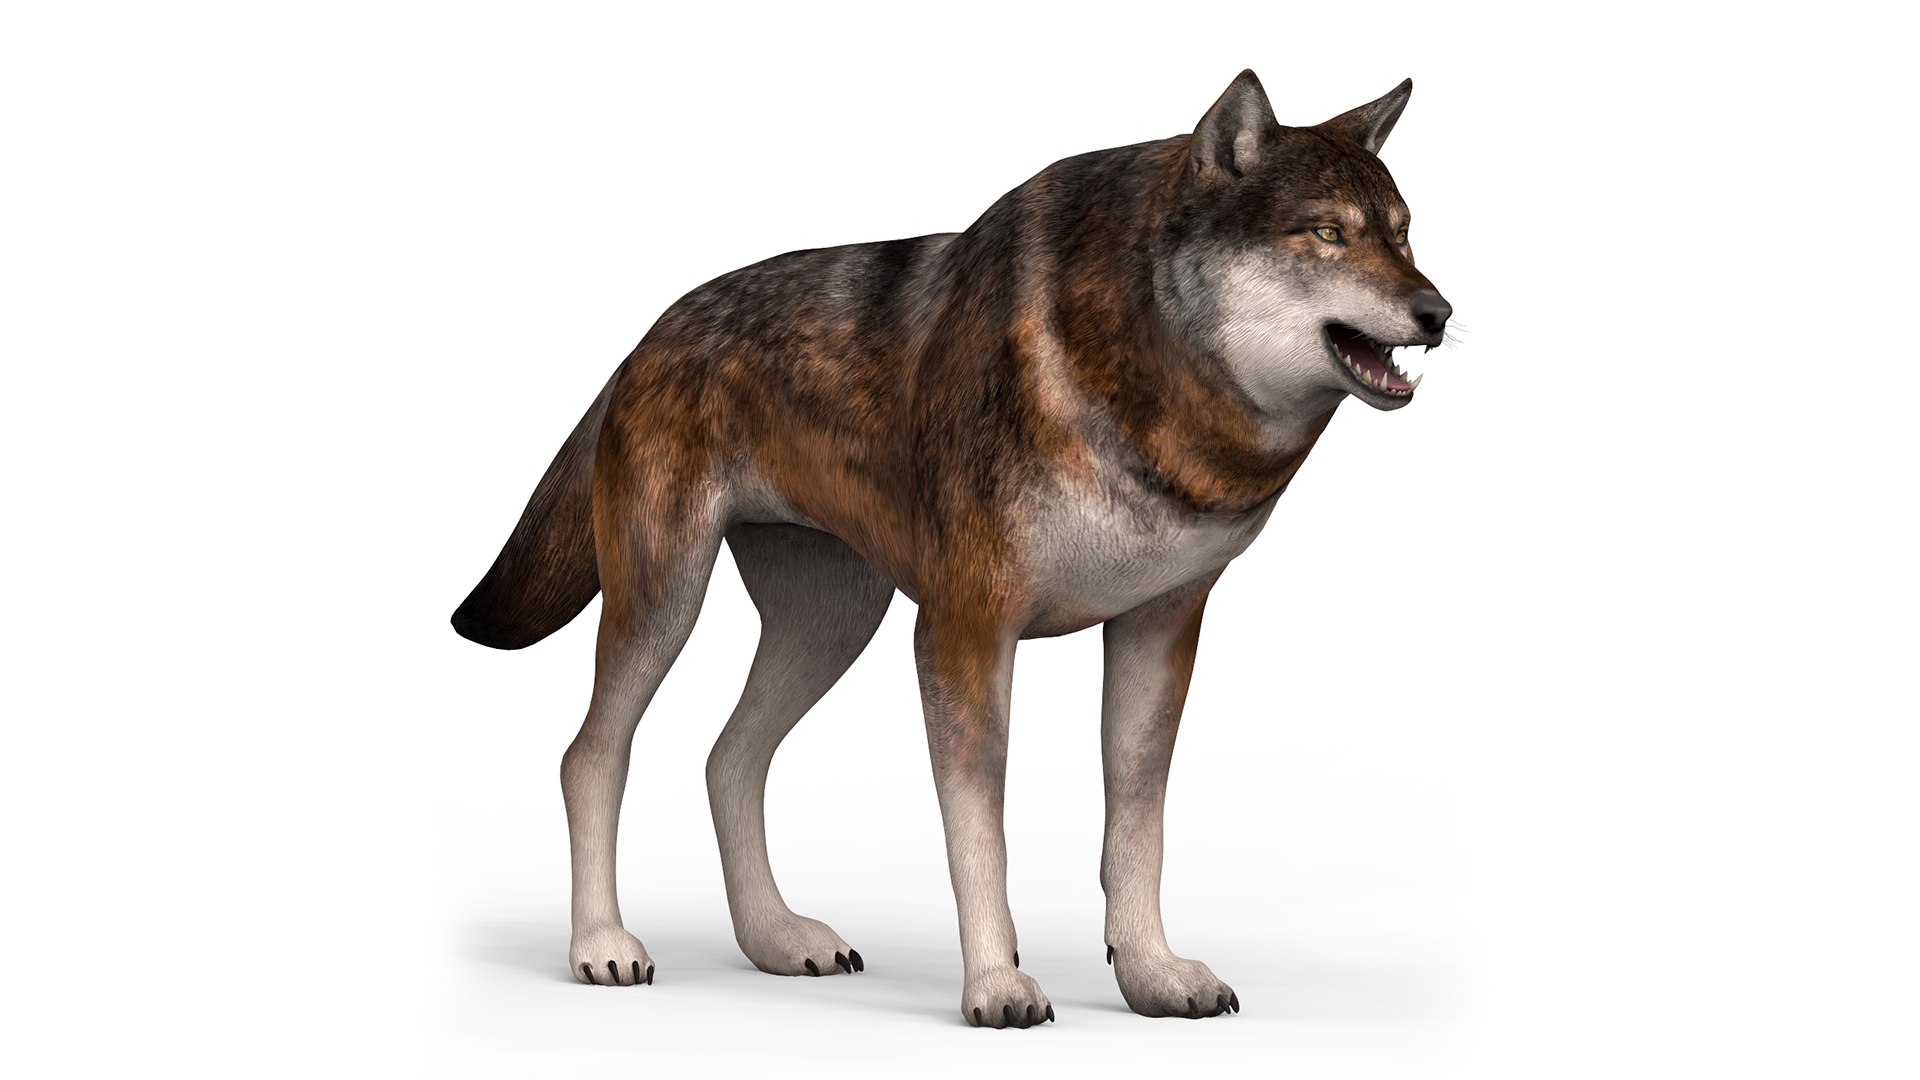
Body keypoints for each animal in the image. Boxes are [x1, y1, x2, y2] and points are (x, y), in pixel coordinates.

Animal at [453, 70, 1451, 1027]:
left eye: (1405, 237)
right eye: (1327, 233)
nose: (1438, 311)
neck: (1150, 382)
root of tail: (648, 336)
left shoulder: (1158, 630)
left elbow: (1138, 829)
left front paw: (1153, 975)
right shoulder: (963, 632)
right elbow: (981, 836)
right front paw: (998, 988)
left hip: (833, 625)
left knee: (728, 757)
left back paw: (778, 938)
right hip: (669, 601)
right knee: (591, 756)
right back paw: (602, 945)